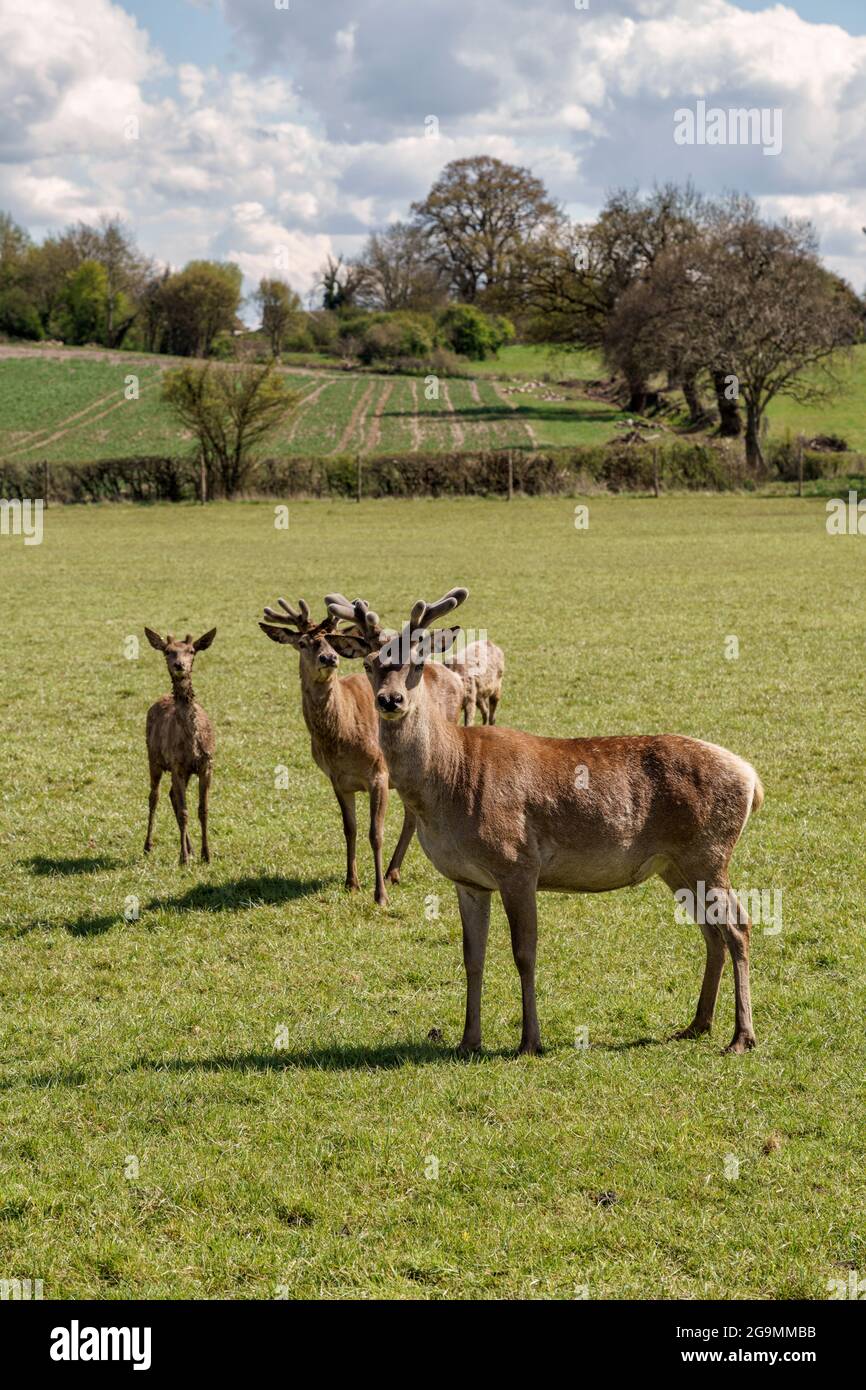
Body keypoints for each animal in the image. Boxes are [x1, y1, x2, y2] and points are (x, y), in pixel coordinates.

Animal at [144, 628, 217, 866]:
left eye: (191, 651)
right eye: (168, 651)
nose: (179, 666)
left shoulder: (206, 765)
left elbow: (203, 810)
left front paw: (206, 854)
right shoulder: (177, 765)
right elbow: (185, 811)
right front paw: (183, 859)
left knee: (171, 795)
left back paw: (191, 848)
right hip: (153, 759)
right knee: (155, 796)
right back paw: (148, 846)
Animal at [259, 598, 463, 906]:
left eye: (329, 642)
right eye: (303, 643)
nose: (329, 658)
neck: (342, 739)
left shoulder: (379, 773)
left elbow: (375, 833)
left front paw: (380, 896)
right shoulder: (337, 780)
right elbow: (349, 828)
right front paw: (351, 882)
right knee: (411, 813)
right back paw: (392, 872)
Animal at [325, 588, 764, 1057]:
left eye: (417, 663)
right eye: (370, 664)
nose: (390, 701)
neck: (452, 778)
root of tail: (751, 779)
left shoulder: (518, 863)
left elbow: (524, 952)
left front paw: (529, 1041)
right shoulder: (468, 879)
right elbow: (472, 957)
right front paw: (468, 1040)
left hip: (709, 853)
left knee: (738, 926)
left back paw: (741, 1036)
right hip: (675, 865)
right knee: (711, 933)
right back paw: (697, 1024)